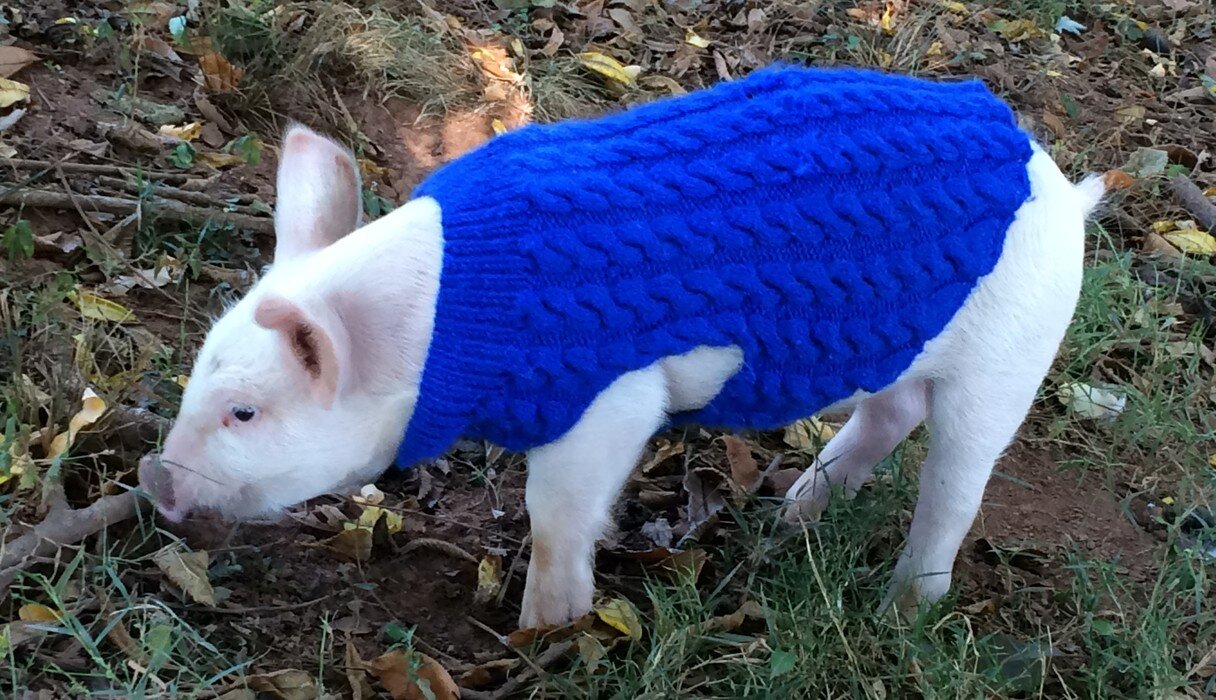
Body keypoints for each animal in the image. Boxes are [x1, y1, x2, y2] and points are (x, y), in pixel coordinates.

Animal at [140, 66, 1104, 628]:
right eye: (197, 380)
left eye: (245, 412)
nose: (152, 476)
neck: (448, 323)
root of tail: (1063, 188)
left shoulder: (611, 401)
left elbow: (558, 515)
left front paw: (544, 631)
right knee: (891, 410)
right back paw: (787, 518)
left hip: (1011, 356)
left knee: (957, 479)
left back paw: (902, 610)